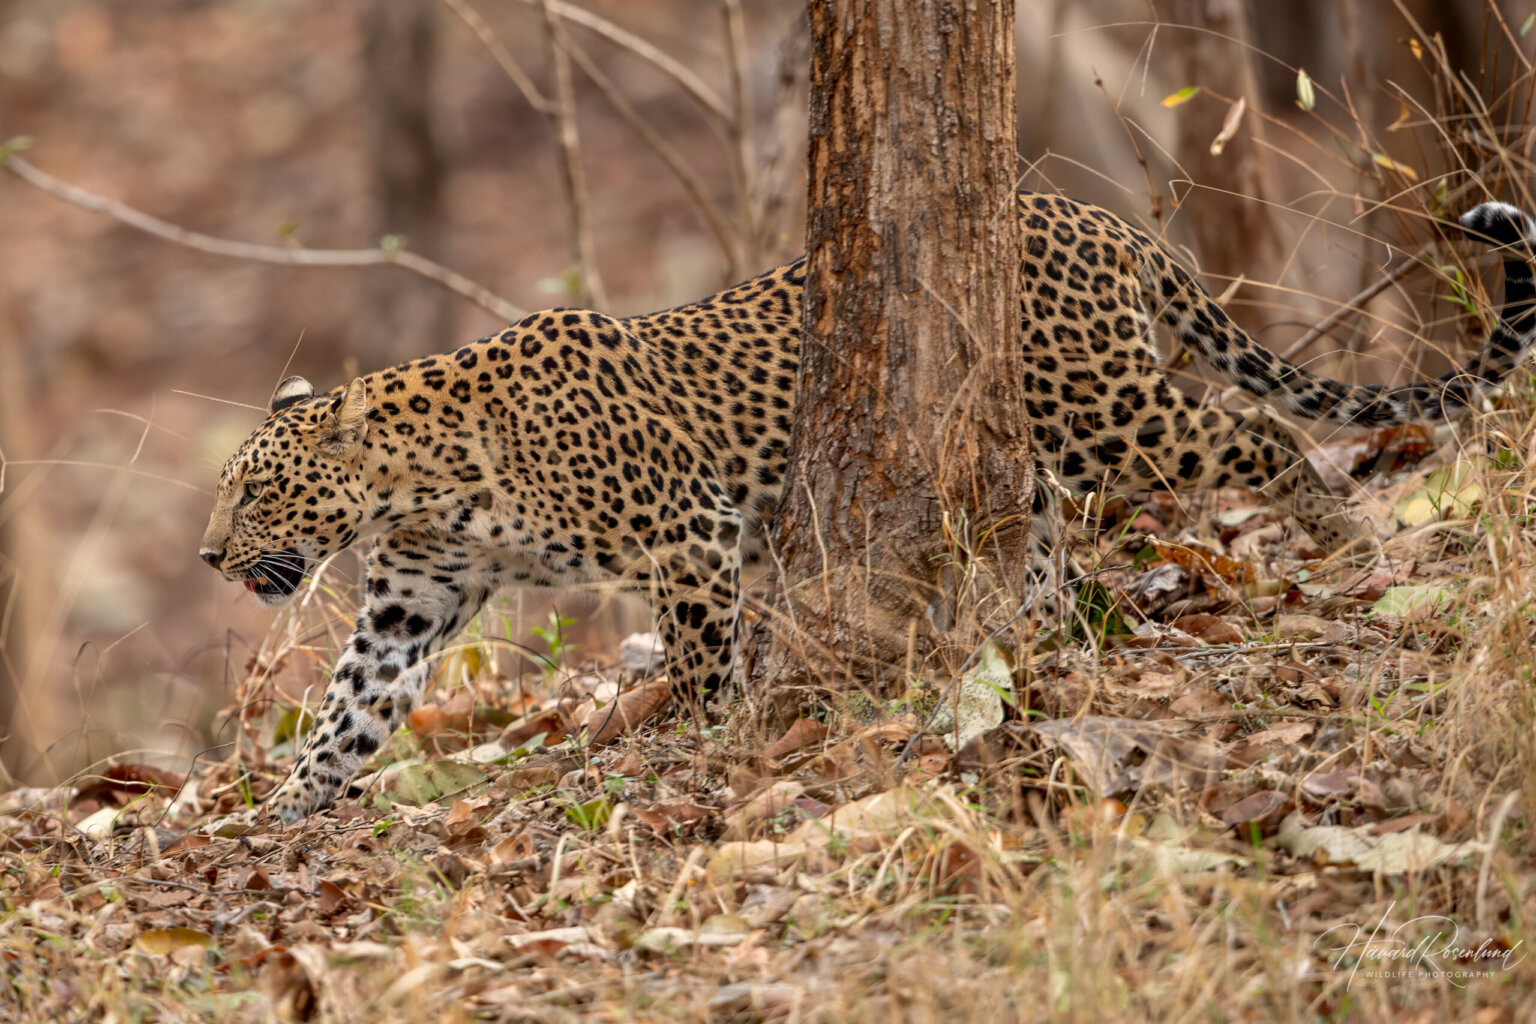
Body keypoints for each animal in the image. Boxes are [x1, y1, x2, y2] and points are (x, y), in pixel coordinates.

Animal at [199, 192, 1536, 824]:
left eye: (257, 489)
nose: (210, 557)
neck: (417, 488)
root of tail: (1104, 219)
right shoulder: (411, 602)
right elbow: (348, 712)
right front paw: (279, 807)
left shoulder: (687, 530)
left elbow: (701, 657)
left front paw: (707, 745)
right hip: (1040, 439)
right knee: (1047, 529)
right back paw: (1036, 631)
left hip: (1107, 408)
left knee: (1259, 434)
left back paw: (1342, 538)